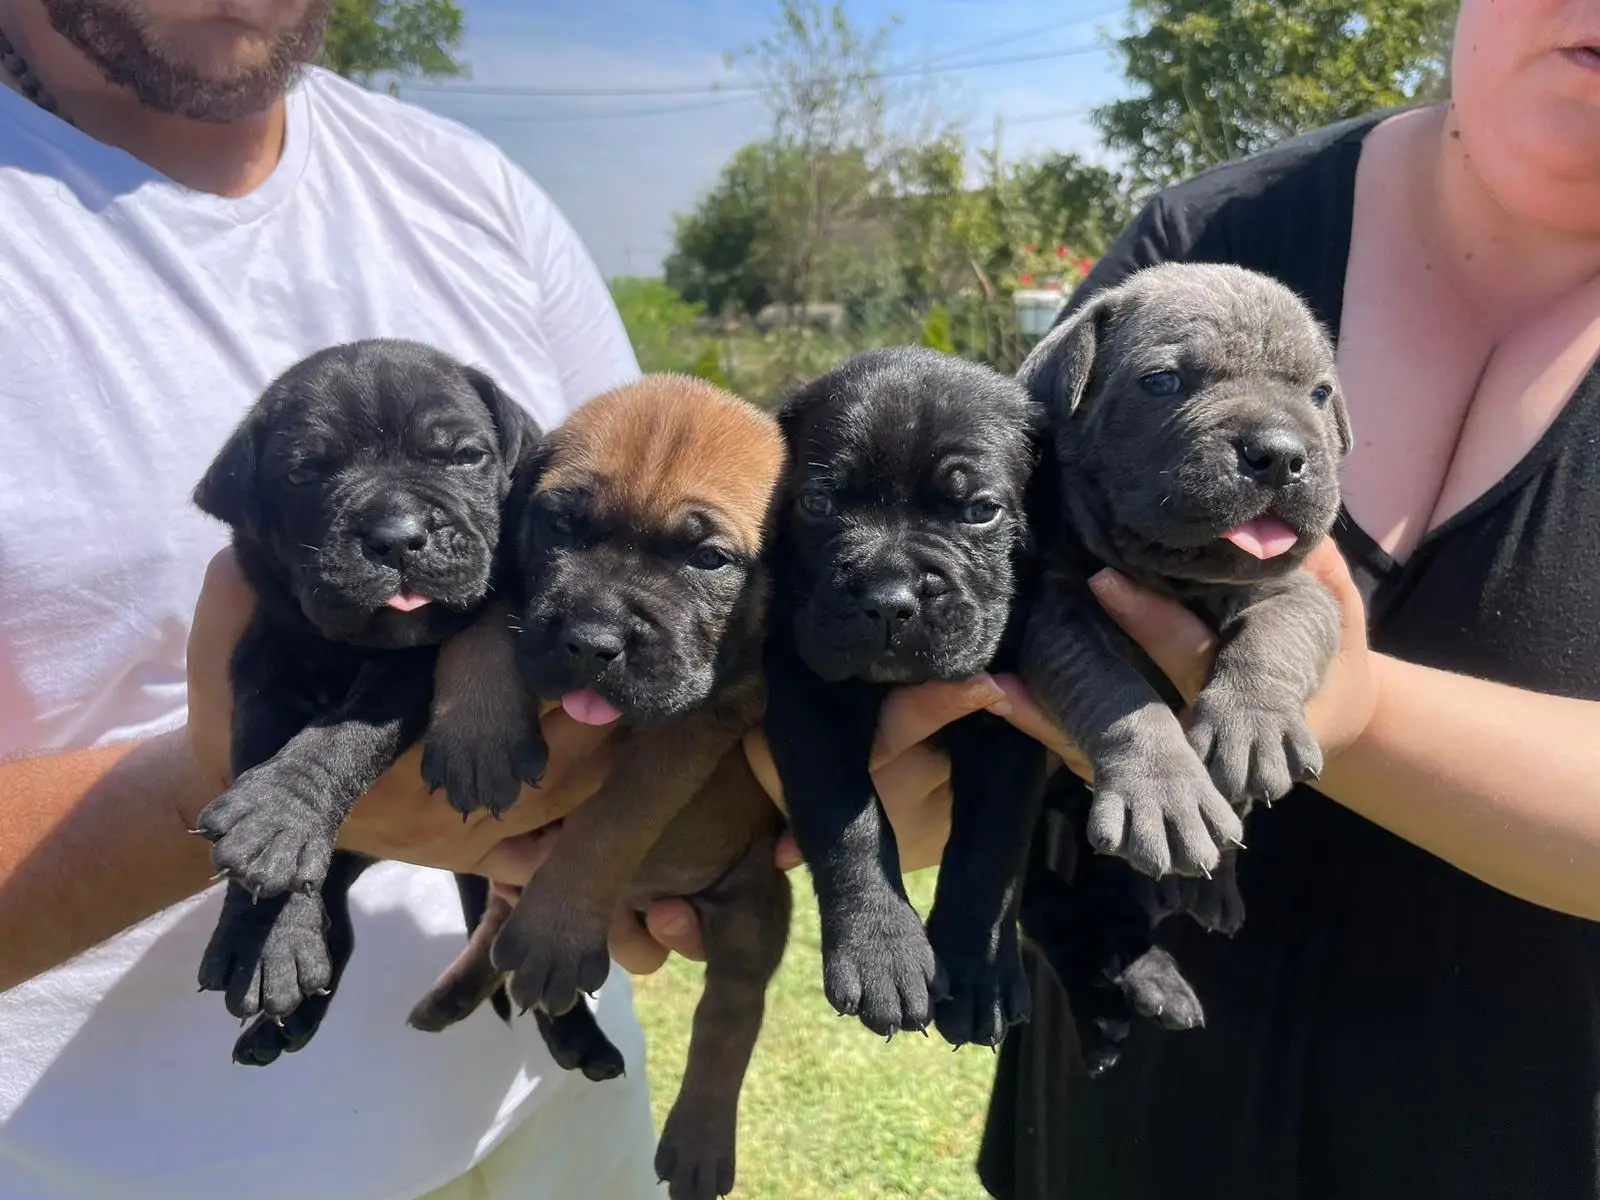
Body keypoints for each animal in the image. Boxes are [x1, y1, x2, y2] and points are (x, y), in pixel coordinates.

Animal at [412, 376, 787, 1200]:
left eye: (709, 558)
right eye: (560, 524)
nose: (591, 643)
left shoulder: (697, 727)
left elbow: (610, 820)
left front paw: (557, 931)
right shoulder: (517, 590)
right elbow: (492, 612)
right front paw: (480, 728)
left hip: (755, 905)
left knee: (730, 1011)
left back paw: (699, 1140)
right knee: (497, 916)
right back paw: (457, 988)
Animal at [758, 342, 1049, 1049]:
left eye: (980, 510)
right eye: (816, 503)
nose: (889, 601)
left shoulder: (1008, 720)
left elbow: (989, 847)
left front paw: (978, 974)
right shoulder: (804, 697)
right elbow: (848, 819)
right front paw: (881, 950)